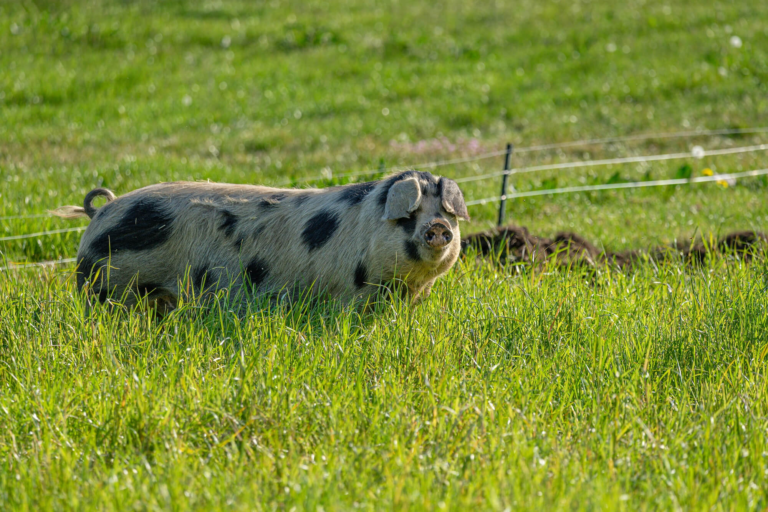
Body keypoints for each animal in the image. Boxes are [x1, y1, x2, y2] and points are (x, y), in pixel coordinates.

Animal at [53, 171, 469, 313]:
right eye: (410, 214)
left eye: (446, 212)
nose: (437, 228)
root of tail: (100, 213)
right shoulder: (349, 295)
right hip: (105, 288)